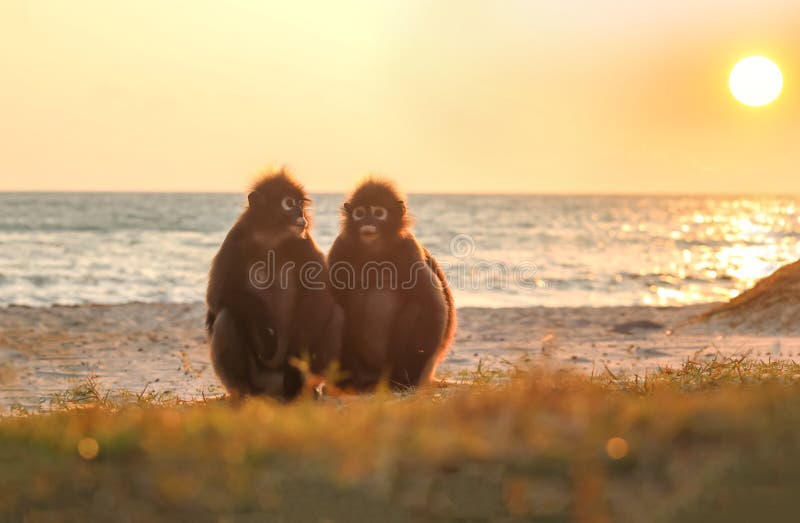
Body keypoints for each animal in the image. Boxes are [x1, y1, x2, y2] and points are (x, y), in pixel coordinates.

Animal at [206, 169, 343, 399]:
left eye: (300, 203)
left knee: (335, 313)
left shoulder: (304, 243)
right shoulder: (234, 241)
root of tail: (273, 388)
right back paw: (243, 393)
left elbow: (321, 298)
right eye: (288, 203)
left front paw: (293, 362)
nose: (300, 213)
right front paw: (263, 326)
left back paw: (303, 390)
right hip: (257, 377)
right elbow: (217, 296)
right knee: (227, 315)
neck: (270, 240)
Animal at [328, 178, 456, 391]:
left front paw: (408, 377)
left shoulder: (409, 249)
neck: (375, 252)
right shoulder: (339, 248)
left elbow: (433, 304)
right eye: (360, 213)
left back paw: (399, 380)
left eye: (379, 213)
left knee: (417, 306)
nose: (368, 223)